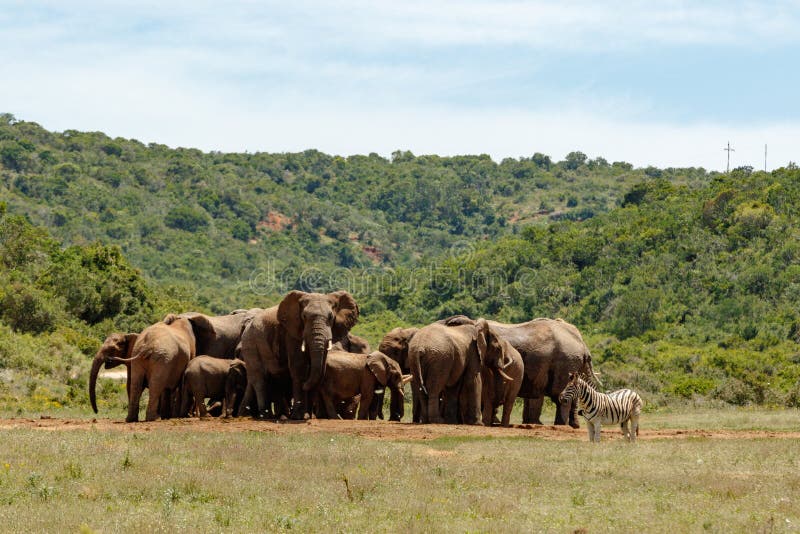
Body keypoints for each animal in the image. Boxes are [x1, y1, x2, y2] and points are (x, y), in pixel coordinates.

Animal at [237, 290, 359, 420]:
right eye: (304, 317)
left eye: (331, 317)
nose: (305, 385)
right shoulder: (291, 333)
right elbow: (299, 367)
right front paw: (298, 417)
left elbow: (319, 368)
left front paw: (308, 416)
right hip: (251, 344)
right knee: (260, 379)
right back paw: (266, 416)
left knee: (257, 380)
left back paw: (244, 415)